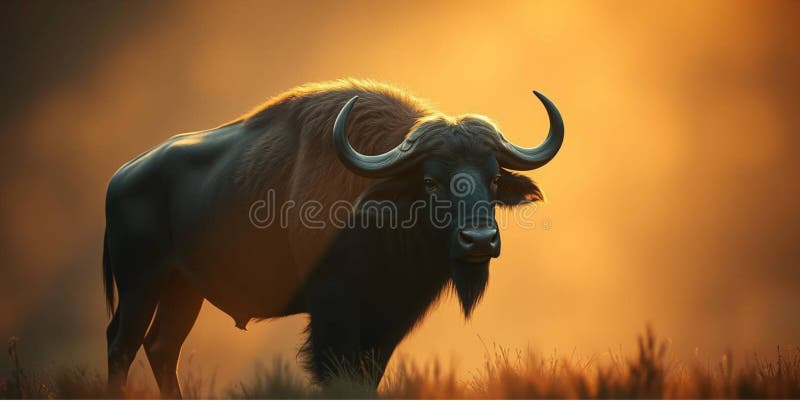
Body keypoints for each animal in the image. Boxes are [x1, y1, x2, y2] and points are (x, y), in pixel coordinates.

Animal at [103, 79, 563, 396]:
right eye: (432, 181)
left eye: (493, 178)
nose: (479, 240)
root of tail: (122, 176)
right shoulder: (332, 306)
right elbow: (338, 373)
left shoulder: (392, 315)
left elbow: (369, 376)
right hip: (140, 285)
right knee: (121, 344)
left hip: (183, 290)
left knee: (162, 347)